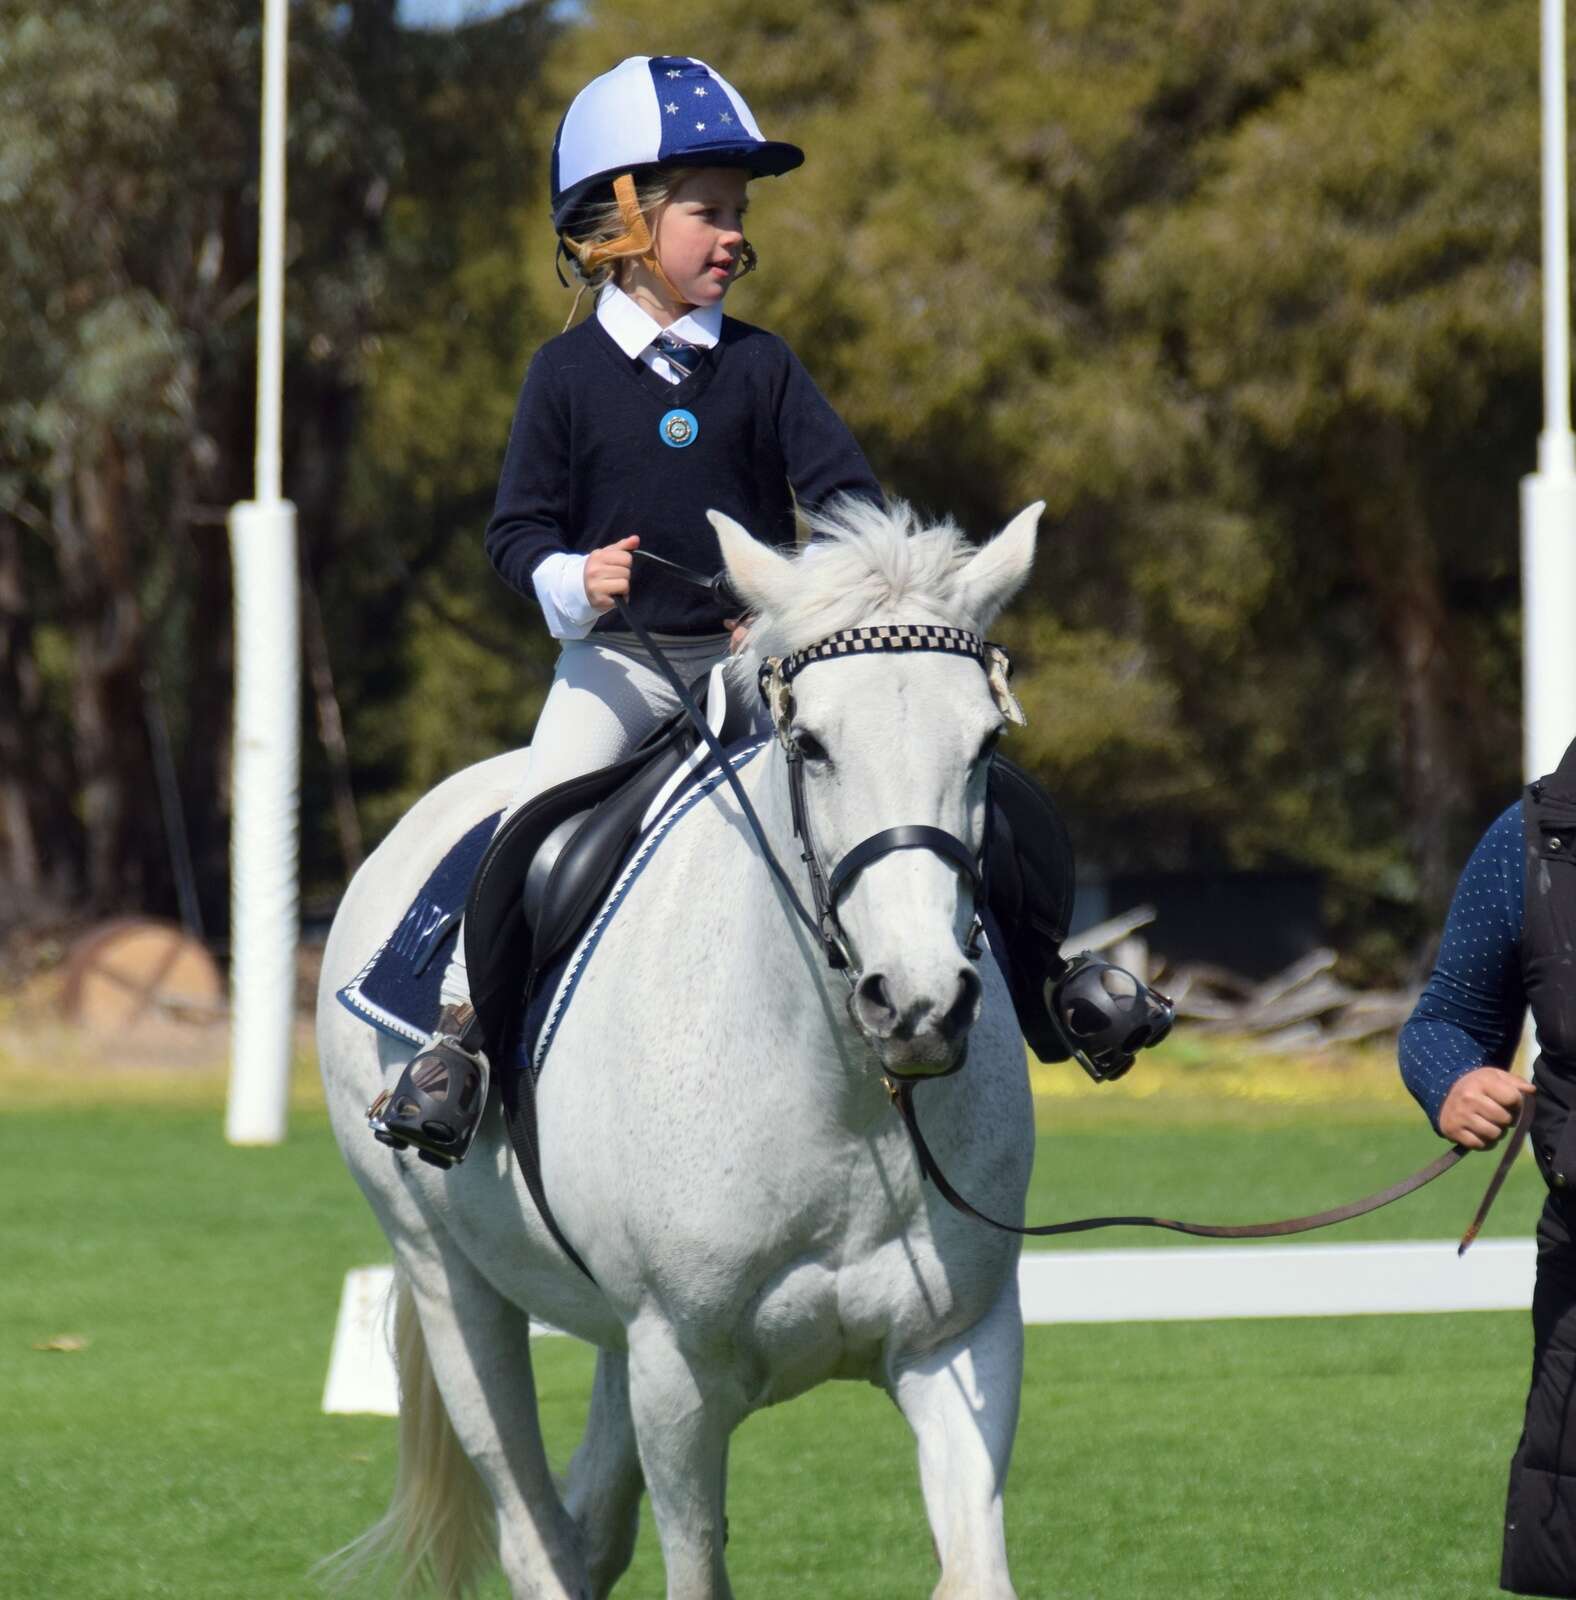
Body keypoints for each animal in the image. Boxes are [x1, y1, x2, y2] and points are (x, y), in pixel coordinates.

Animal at [316, 495, 1044, 1600]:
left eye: (987, 742)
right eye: (810, 743)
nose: (917, 1003)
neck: (845, 1102)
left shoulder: (956, 1344)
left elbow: (975, 1570)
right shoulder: (680, 1371)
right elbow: (693, 1568)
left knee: (585, 1527)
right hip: (452, 1285)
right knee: (535, 1534)